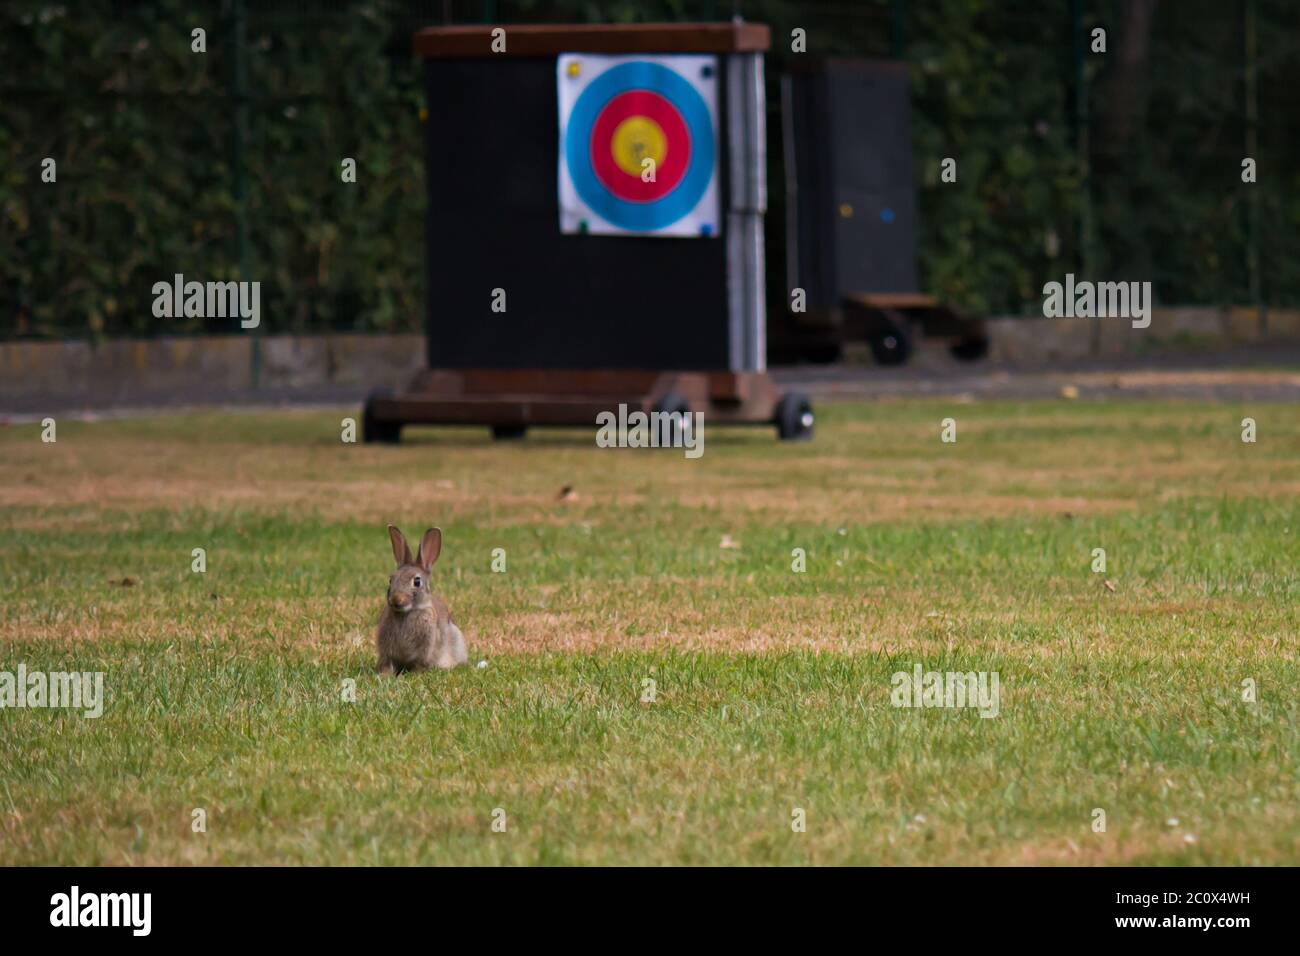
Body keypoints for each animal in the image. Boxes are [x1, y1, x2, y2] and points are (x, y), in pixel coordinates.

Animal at [376, 525, 468, 674]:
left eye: (417, 581)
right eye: (391, 579)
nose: (396, 600)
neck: (408, 612)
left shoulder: (424, 651)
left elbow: (419, 664)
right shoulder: (387, 652)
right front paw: (384, 674)